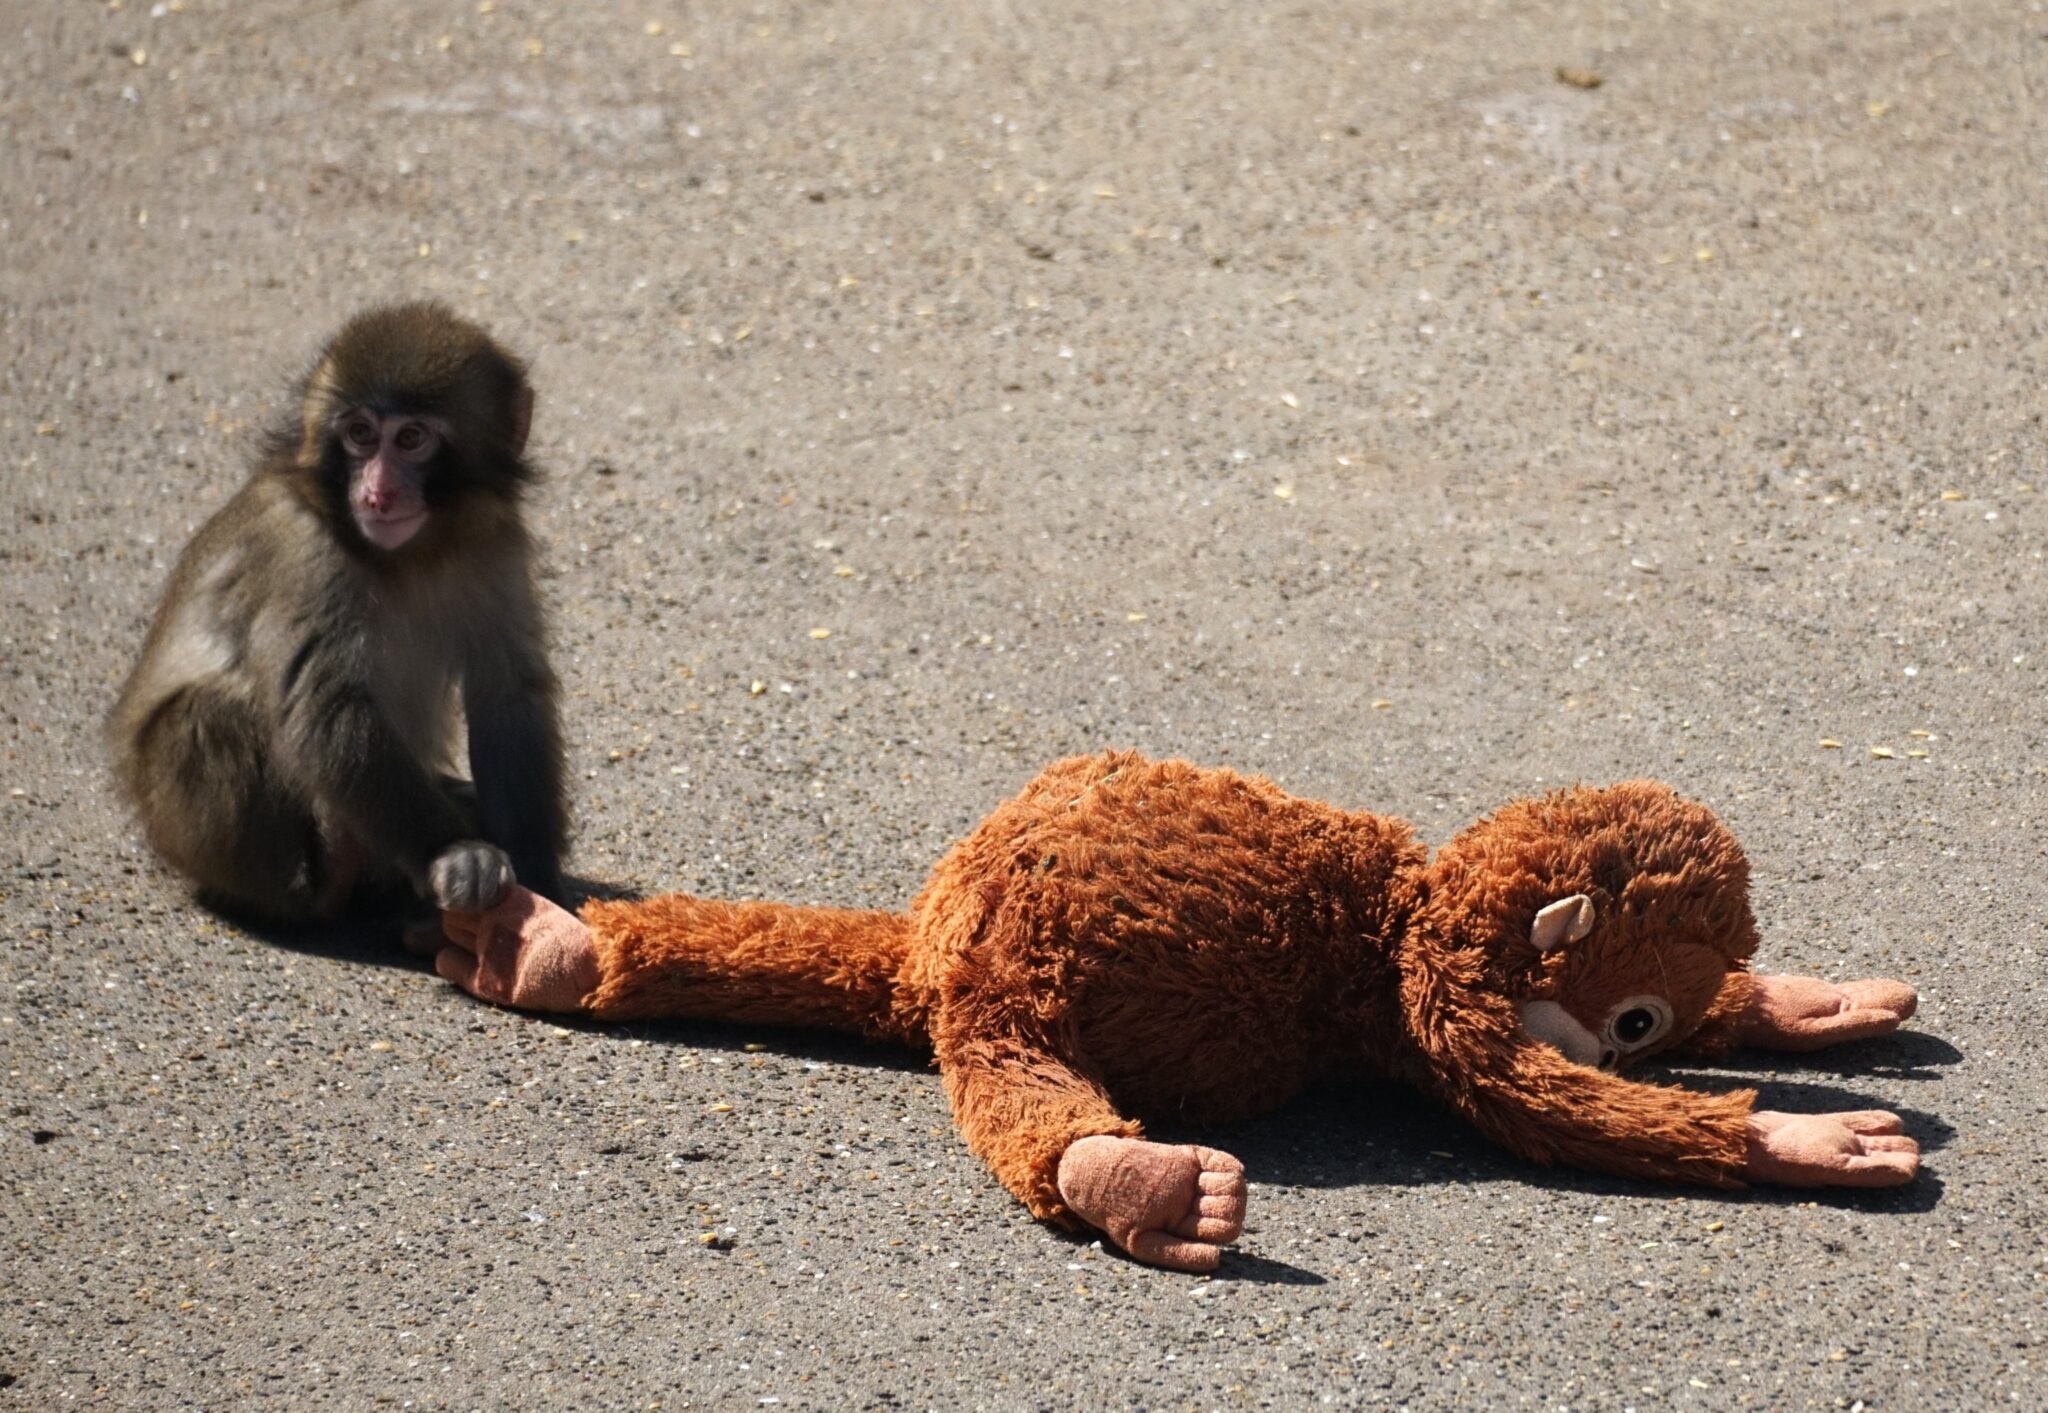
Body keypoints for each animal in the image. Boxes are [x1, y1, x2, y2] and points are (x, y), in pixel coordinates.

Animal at [108, 301, 567, 928]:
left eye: (412, 438)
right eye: (360, 435)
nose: (376, 494)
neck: (411, 556)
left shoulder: (495, 542)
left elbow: (508, 693)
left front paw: (538, 873)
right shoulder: (304, 550)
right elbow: (324, 704)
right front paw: (455, 852)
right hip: (188, 828)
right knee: (205, 717)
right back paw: (323, 880)